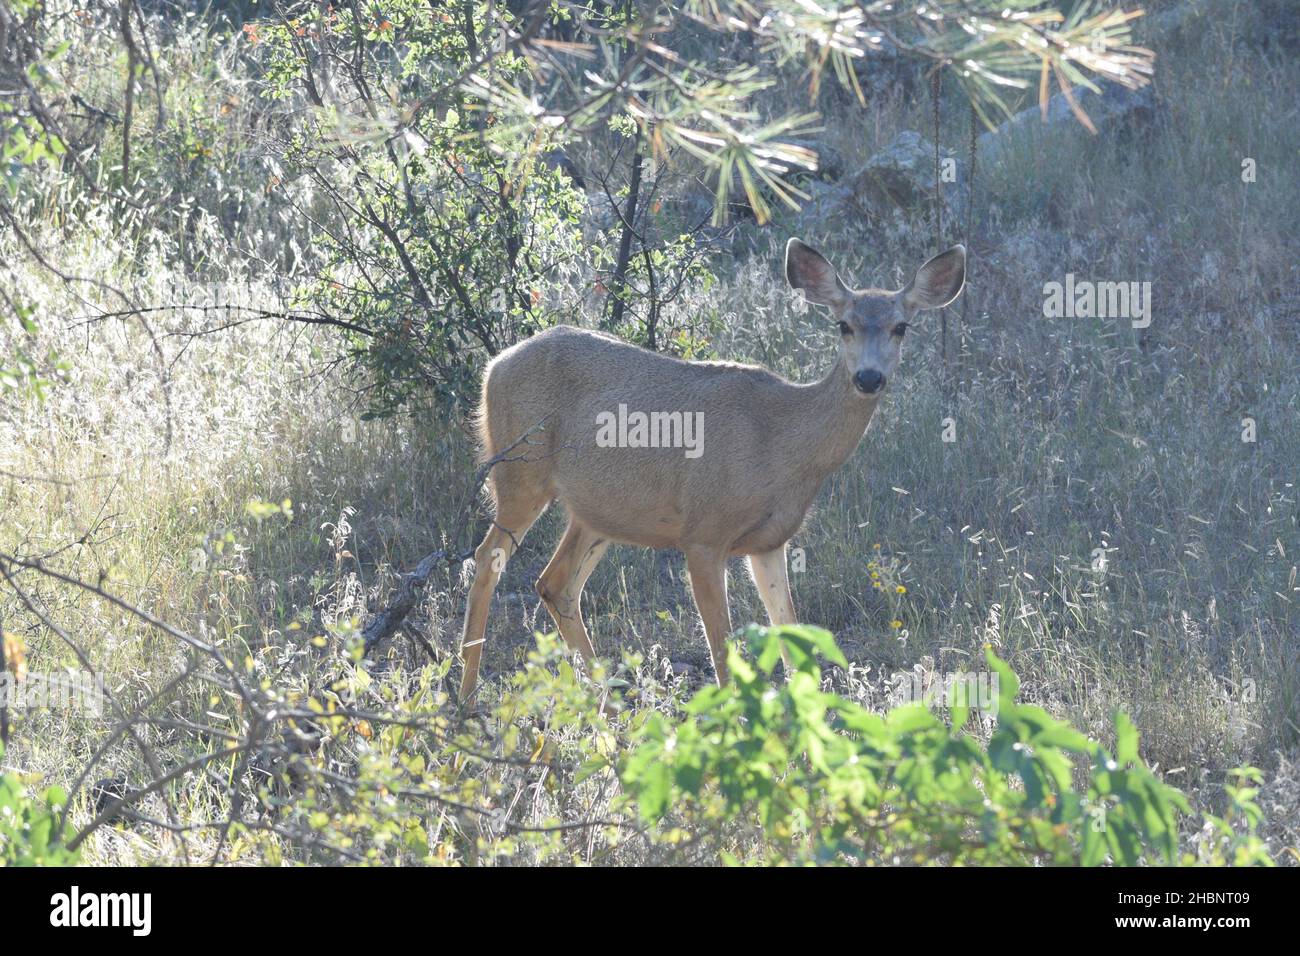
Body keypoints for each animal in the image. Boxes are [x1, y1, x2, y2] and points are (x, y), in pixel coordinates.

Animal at [457, 238, 966, 701]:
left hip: (597, 511)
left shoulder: (769, 542)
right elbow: (723, 656)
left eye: (901, 327)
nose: (869, 377)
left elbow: (792, 639)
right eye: (844, 324)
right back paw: (467, 695)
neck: (784, 444)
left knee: (555, 583)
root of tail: (493, 366)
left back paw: (605, 702)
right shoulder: (703, 533)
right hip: (520, 472)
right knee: (487, 559)